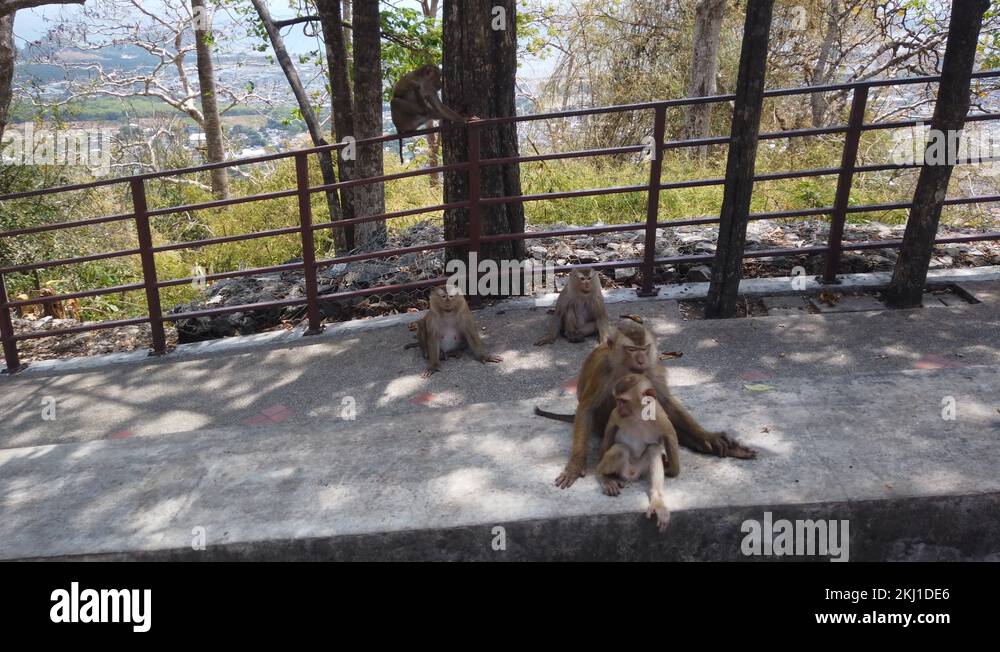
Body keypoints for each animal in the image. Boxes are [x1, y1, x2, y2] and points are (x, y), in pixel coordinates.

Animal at [536, 318, 756, 489]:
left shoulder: (653, 366)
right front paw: (575, 464)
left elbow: (666, 402)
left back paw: (719, 446)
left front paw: (707, 436)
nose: (641, 360)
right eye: (632, 349)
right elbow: (587, 408)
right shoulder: (603, 371)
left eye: (644, 349)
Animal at [595, 374, 679, 531]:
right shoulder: (615, 415)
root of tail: (631, 474)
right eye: (617, 400)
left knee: (653, 448)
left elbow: (670, 436)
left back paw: (656, 500)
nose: (618, 407)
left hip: (641, 469)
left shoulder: (659, 415)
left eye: (623, 401)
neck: (638, 415)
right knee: (620, 449)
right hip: (622, 470)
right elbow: (609, 432)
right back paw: (603, 475)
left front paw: (671, 469)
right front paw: (603, 476)